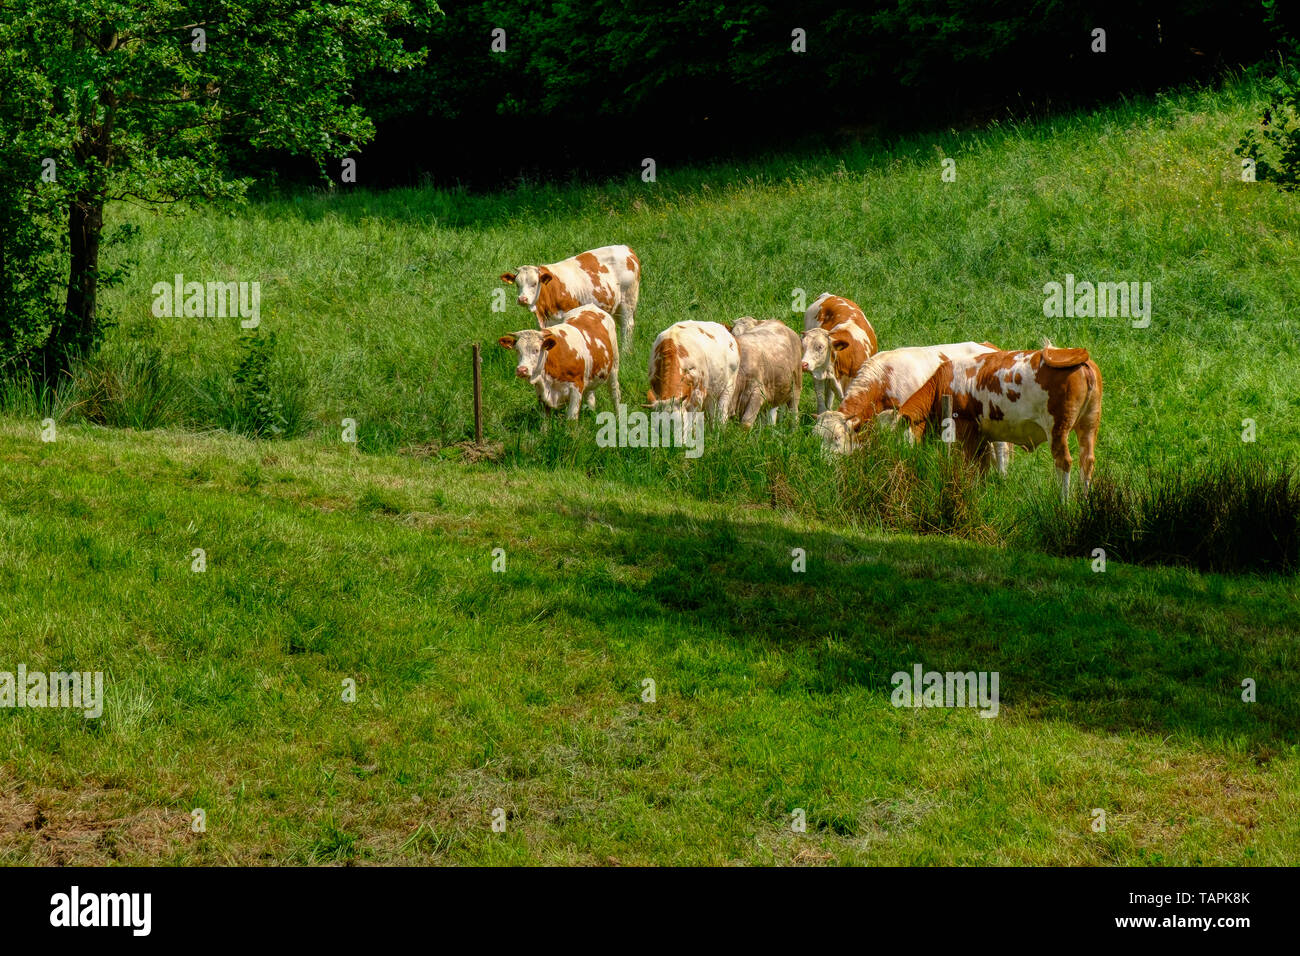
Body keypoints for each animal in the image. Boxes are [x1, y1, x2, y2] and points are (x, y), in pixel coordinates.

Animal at [500, 245, 641, 344]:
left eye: (534, 283)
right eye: (517, 284)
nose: (522, 299)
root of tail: (626, 248)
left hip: (628, 300)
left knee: (627, 326)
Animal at [892, 342, 1102, 500]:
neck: (942, 383)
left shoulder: (964, 429)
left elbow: (968, 464)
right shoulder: (982, 436)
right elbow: (981, 467)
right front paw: (980, 493)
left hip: (1057, 428)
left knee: (1064, 461)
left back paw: (1063, 503)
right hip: (1089, 424)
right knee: (1087, 460)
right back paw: (1084, 501)